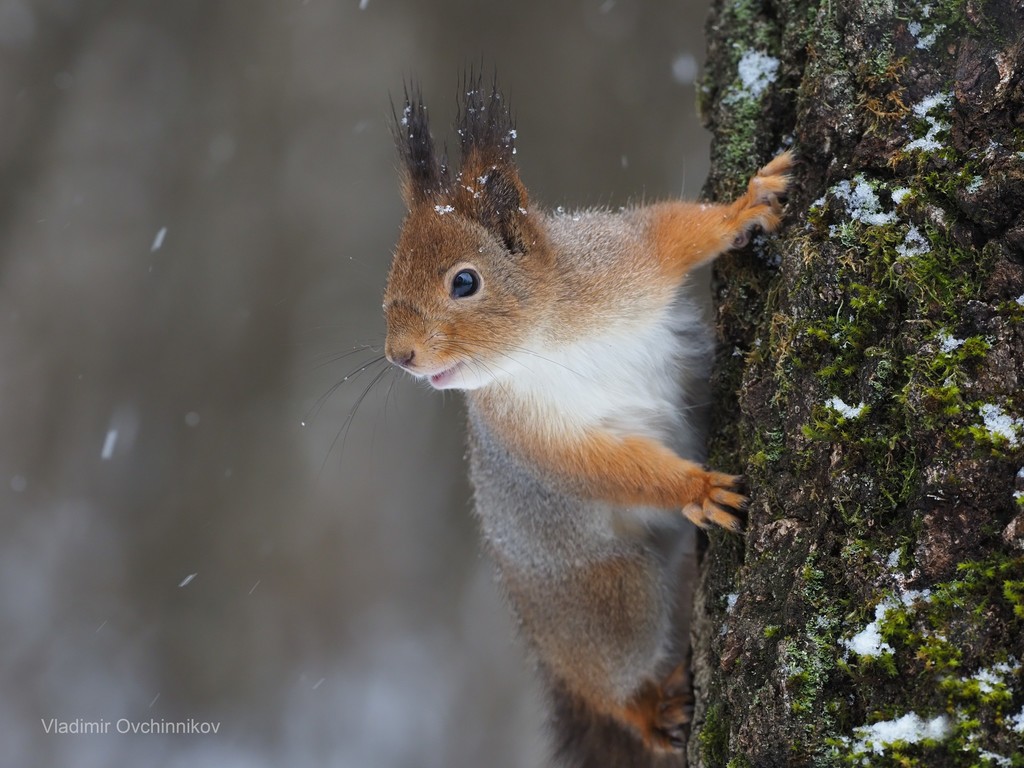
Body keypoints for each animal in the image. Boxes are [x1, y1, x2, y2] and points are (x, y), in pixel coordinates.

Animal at [382, 75, 793, 766]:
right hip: (612, 602)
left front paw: (744, 206)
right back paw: (649, 711)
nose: (399, 355)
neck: (545, 339)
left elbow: (674, 231)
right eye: (389, 279)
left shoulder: (620, 259)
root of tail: (549, 650)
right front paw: (697, 488)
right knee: (613, 689)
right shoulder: (533, 435)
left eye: (464, 282)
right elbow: (604, 468)